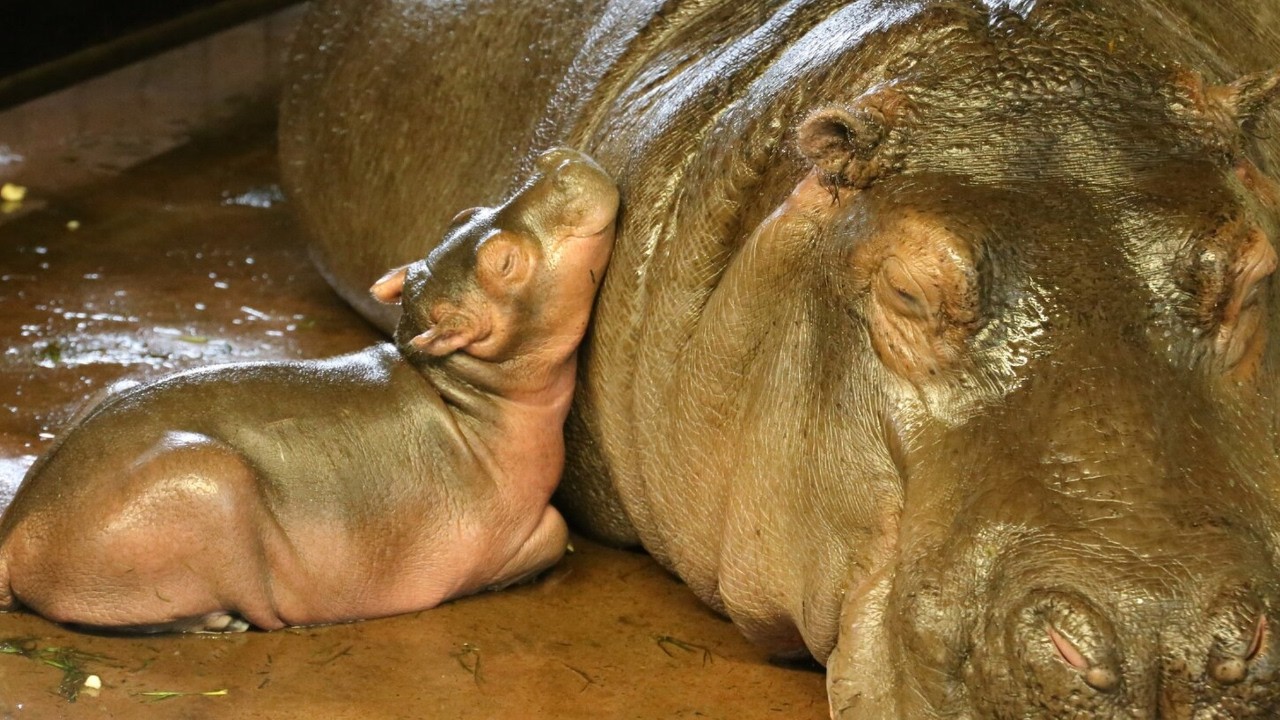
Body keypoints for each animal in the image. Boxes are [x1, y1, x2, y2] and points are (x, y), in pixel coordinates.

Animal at [0, 148, 619, 632]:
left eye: (462, 214)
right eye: (505, 261)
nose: (557, 160)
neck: (465, 392)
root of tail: (17, 528)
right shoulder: (500, 533)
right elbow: (555, 531)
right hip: (206, 483)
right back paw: (221, 622)